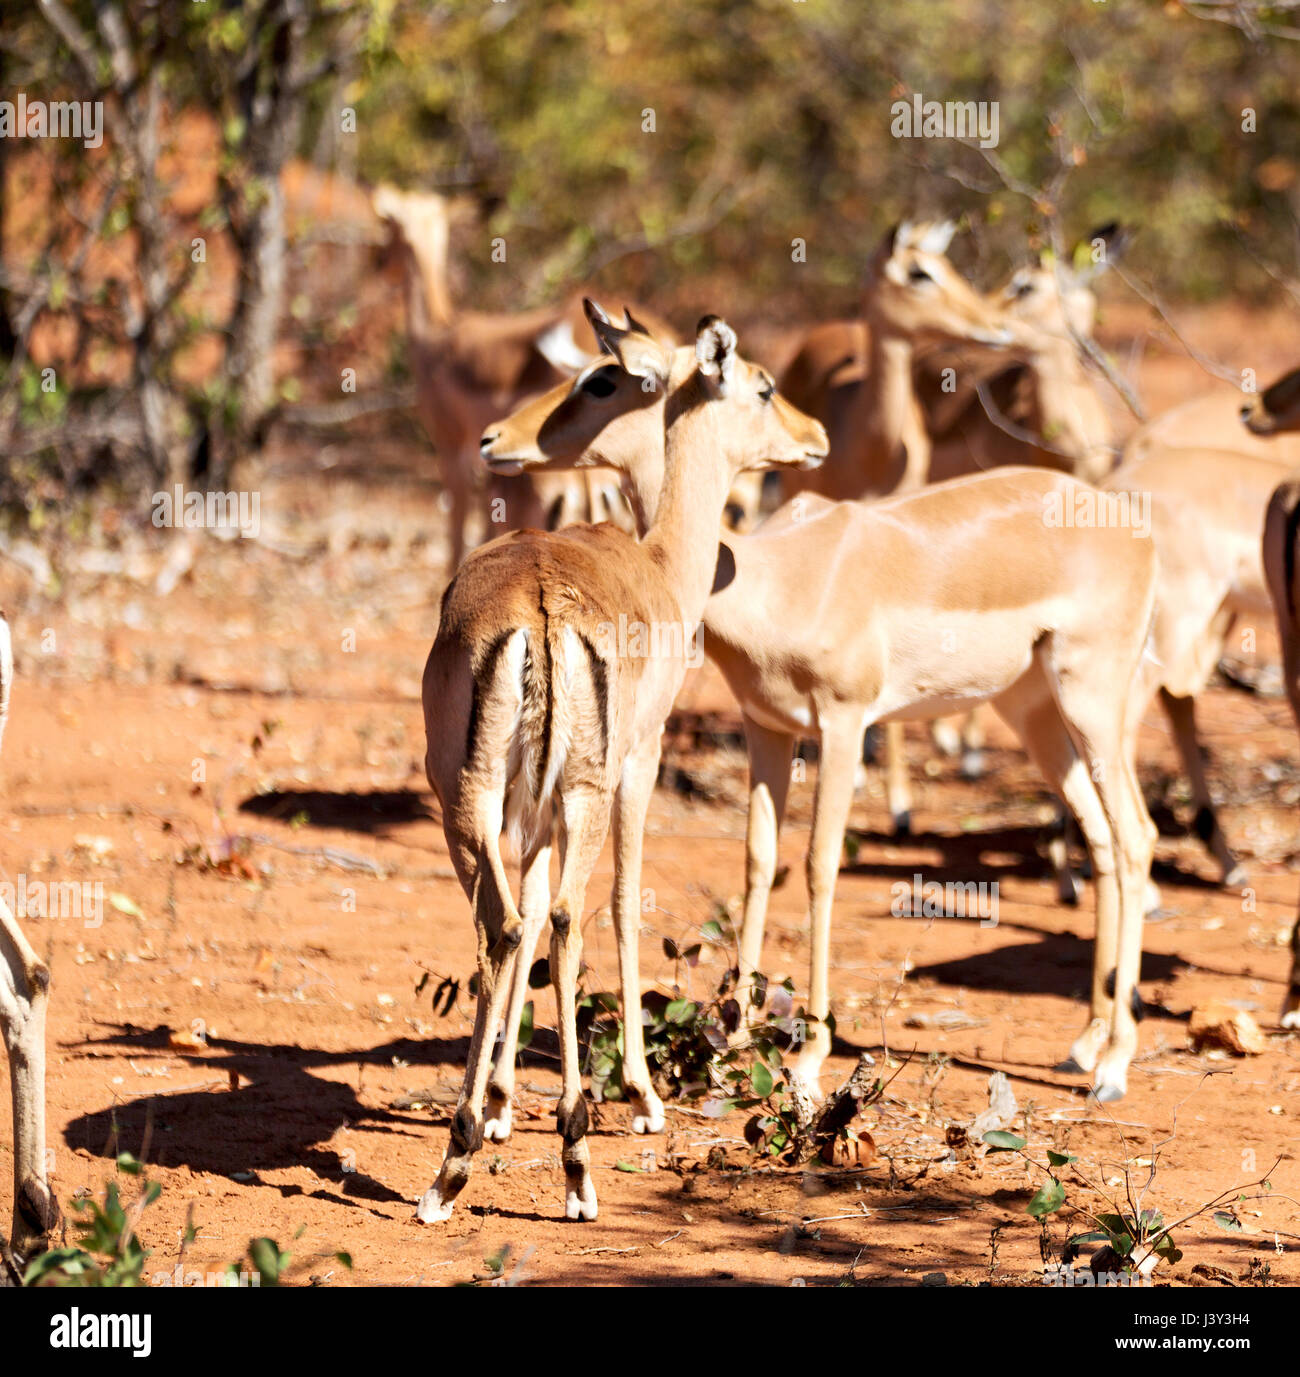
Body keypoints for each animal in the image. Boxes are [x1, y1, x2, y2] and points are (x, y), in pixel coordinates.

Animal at [416, 305, 827, 1223]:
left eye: (598, 379)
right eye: (763, 386)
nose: (815, 435)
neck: (656, 565)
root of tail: (537, 603)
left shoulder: (530, 814)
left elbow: (532, 911)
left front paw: (503, 1102)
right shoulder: (641, 762)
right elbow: (620, 905)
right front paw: (641, 1096)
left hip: (485, 798)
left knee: (509, 923)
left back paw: (471, 1151)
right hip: (573, 794)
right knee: (561, 917)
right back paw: (547, 1158)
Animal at [483, 341, 1162, 1107]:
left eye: (603, 381)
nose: (494, 440)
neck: (771, 578)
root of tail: (1133, 526)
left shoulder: (842, 722)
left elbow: (819, 864)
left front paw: (809, 1055)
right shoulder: (768, 728)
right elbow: (758, 861)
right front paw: (735, 1036)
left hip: (1091, 701)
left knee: (1137, 836)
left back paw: (1114, 1065)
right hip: (1037, 712)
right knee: (1104, 838)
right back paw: (1085, 1043)